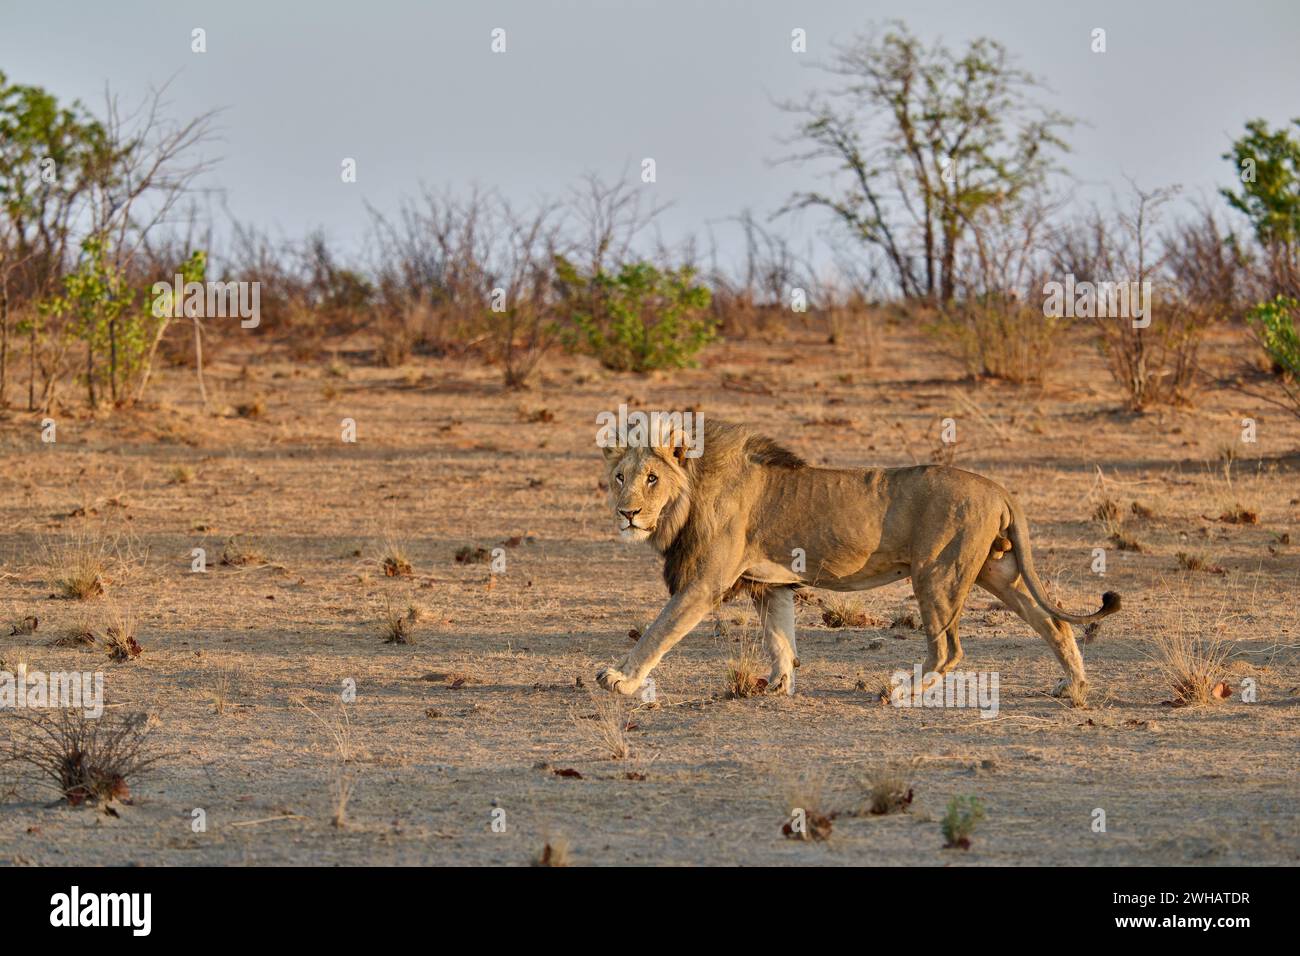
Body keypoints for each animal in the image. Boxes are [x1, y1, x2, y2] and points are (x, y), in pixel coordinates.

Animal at [595, 417, 1118, 699]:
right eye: (620, 477)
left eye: (652, 479)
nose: (626, 514)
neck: (691, 492)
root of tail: (998, 488)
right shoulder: (770, 584)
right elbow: (779, 639)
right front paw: (778, 684)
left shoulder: (706, 582)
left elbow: (659, 630)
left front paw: (620, 679)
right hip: (998, 570)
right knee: (1054, 623)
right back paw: (1073, 686)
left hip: (937, 574)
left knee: (949, 649)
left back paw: (904, 691)